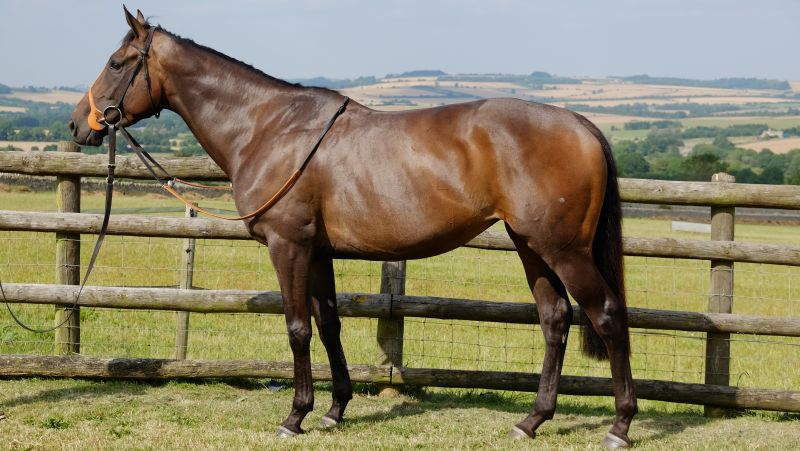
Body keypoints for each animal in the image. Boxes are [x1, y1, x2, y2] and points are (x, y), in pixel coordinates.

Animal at [69, 7, 636, 448]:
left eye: (116, 63)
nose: (79, 124)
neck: (268, 127)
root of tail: (581, 123)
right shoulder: (318, 252)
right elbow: (328, 325)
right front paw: (333, 410)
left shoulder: (288, 247)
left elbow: (297, 328)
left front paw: (294, 416)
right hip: (531, 244)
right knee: (555, 319)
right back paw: (531, 421)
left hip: (564, 249)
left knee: (607, 315)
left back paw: (620, 426)